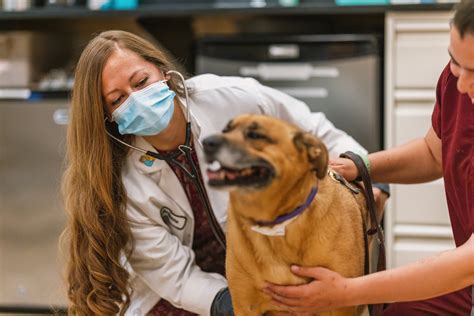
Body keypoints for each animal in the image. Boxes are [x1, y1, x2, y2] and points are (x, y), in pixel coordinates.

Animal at [202, 114, 368, 316]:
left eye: (255, 135)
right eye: (225, 130)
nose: (207, 142)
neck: (276, 225)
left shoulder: (340, 303)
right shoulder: (244, 307)